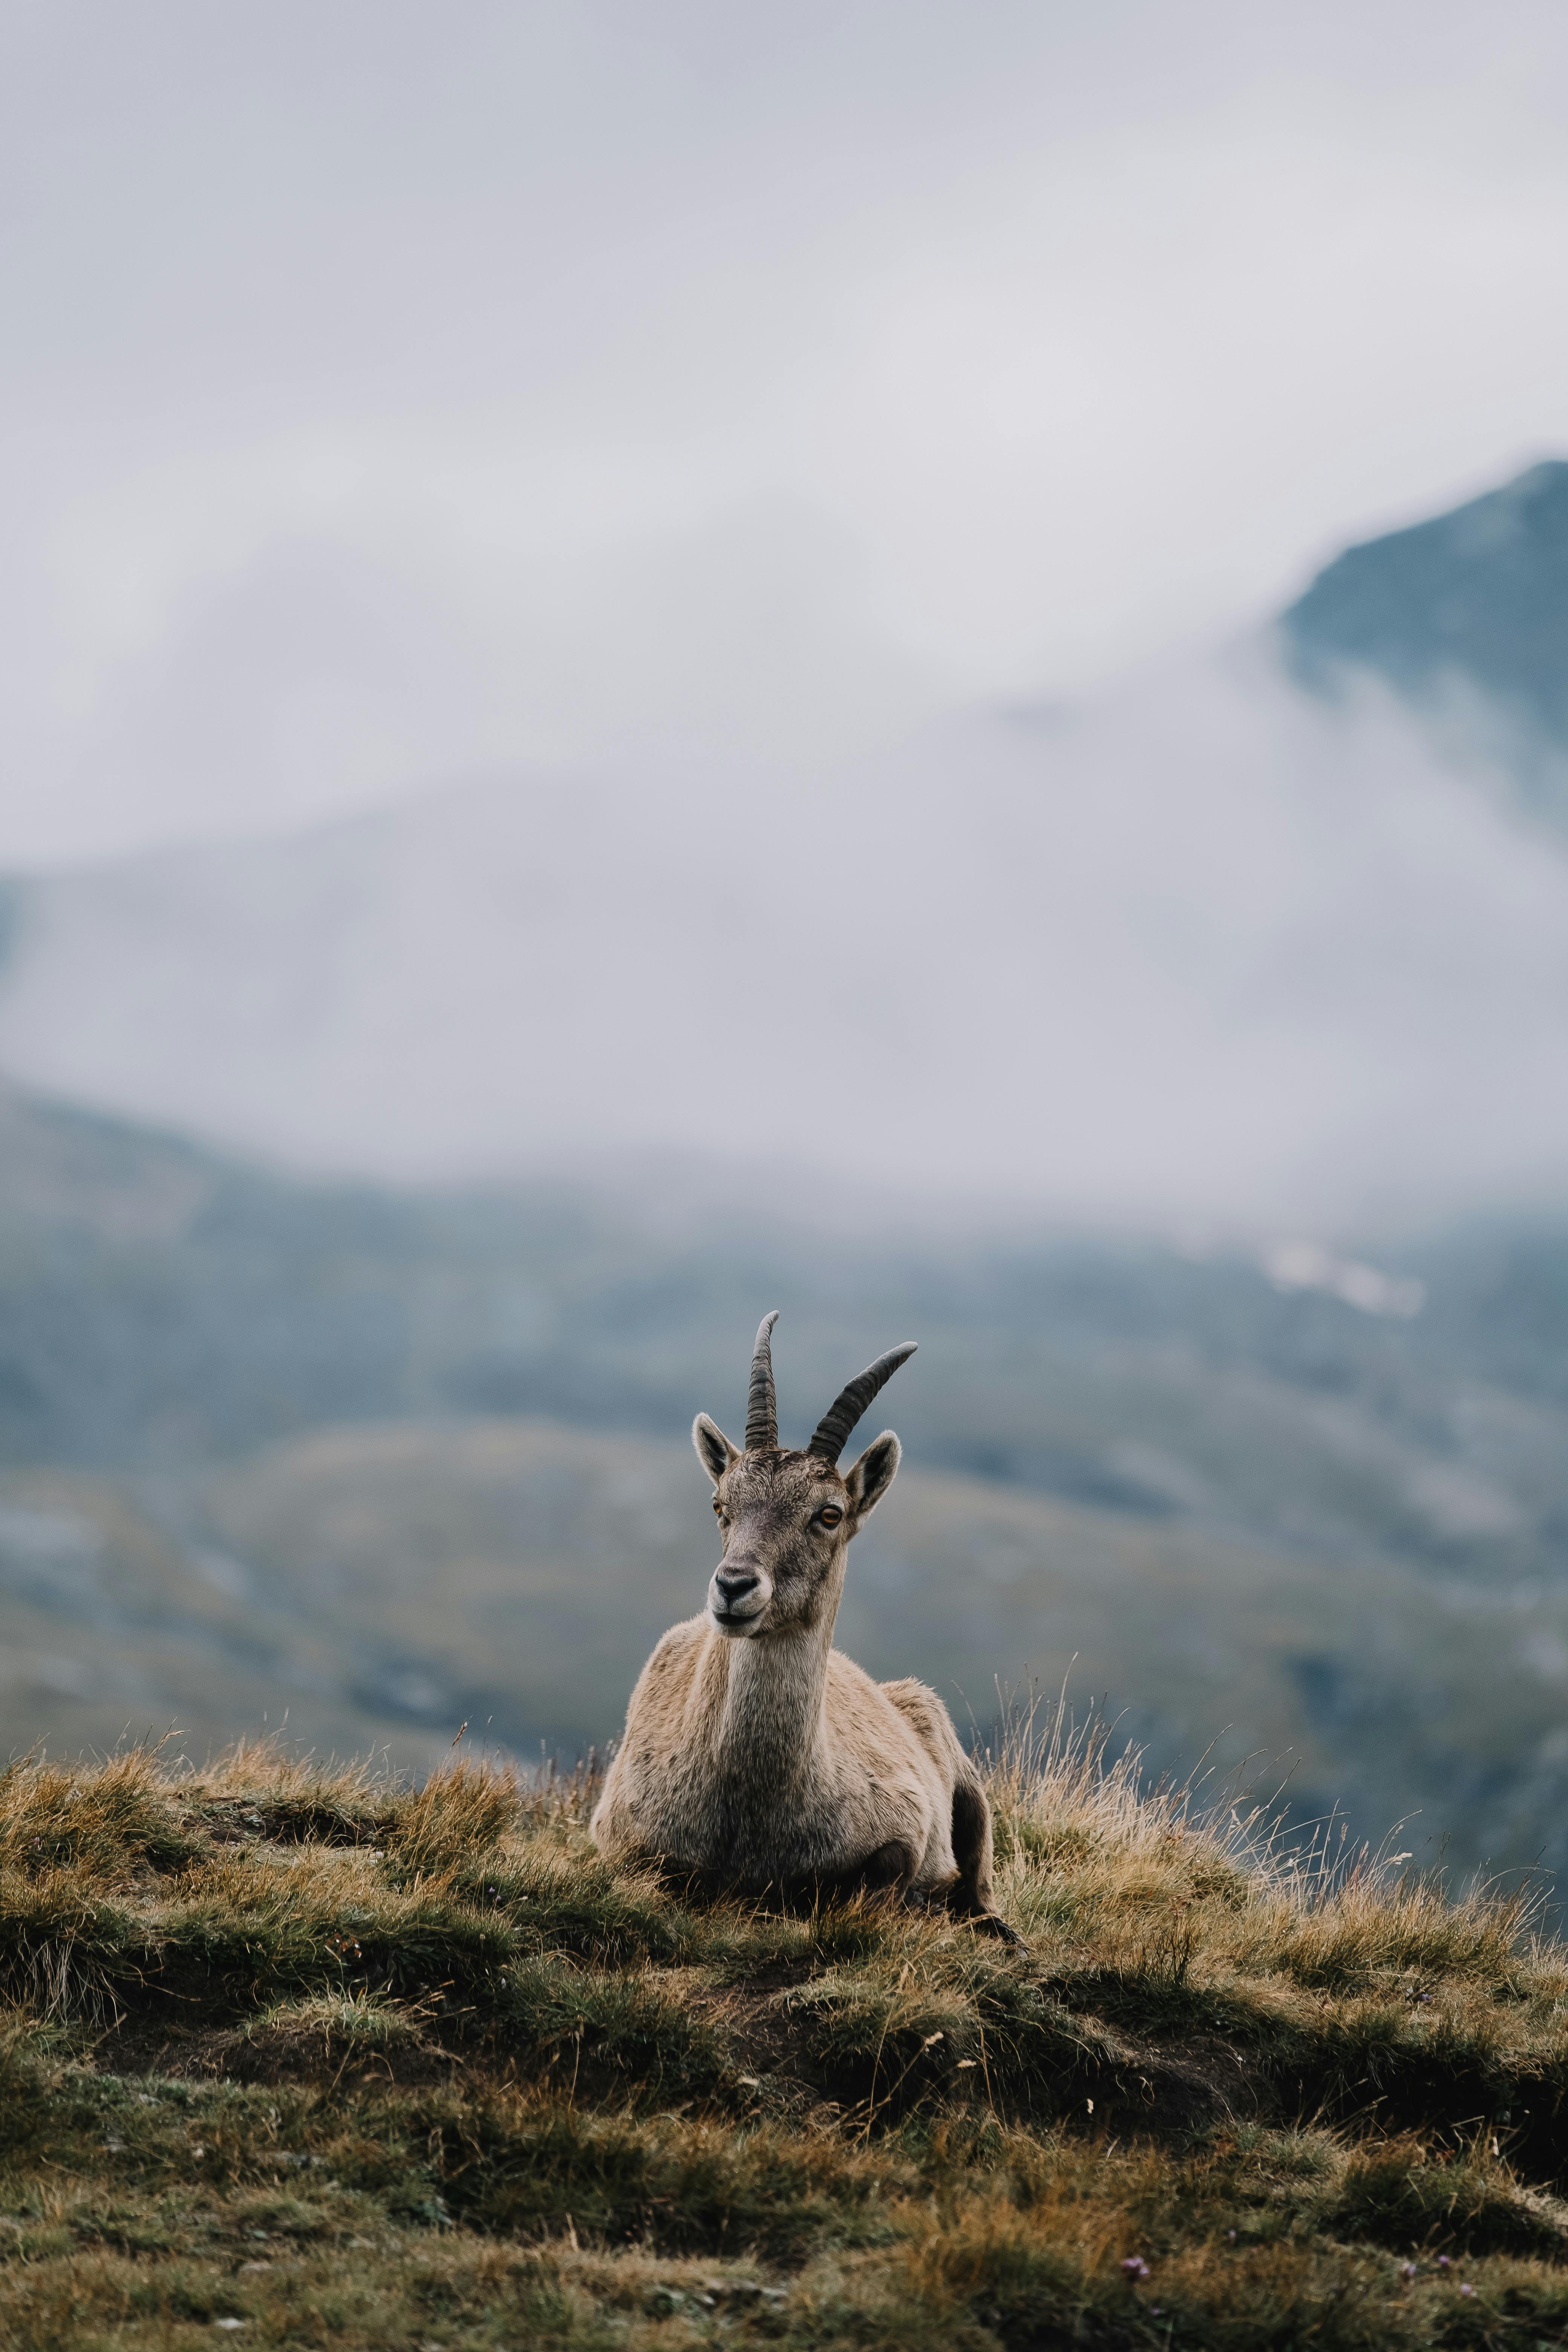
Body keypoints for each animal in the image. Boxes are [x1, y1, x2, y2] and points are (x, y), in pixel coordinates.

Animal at [591, 1313, 1019, 1939]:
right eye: (720, 1505)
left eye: (829, 1514)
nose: (734, 1586)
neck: (749, 1802)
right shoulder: (619, 1837)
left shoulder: (905, 1819)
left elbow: (894, 1868)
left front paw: (921, 1900)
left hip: (971, 1796)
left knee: (984, 1893)